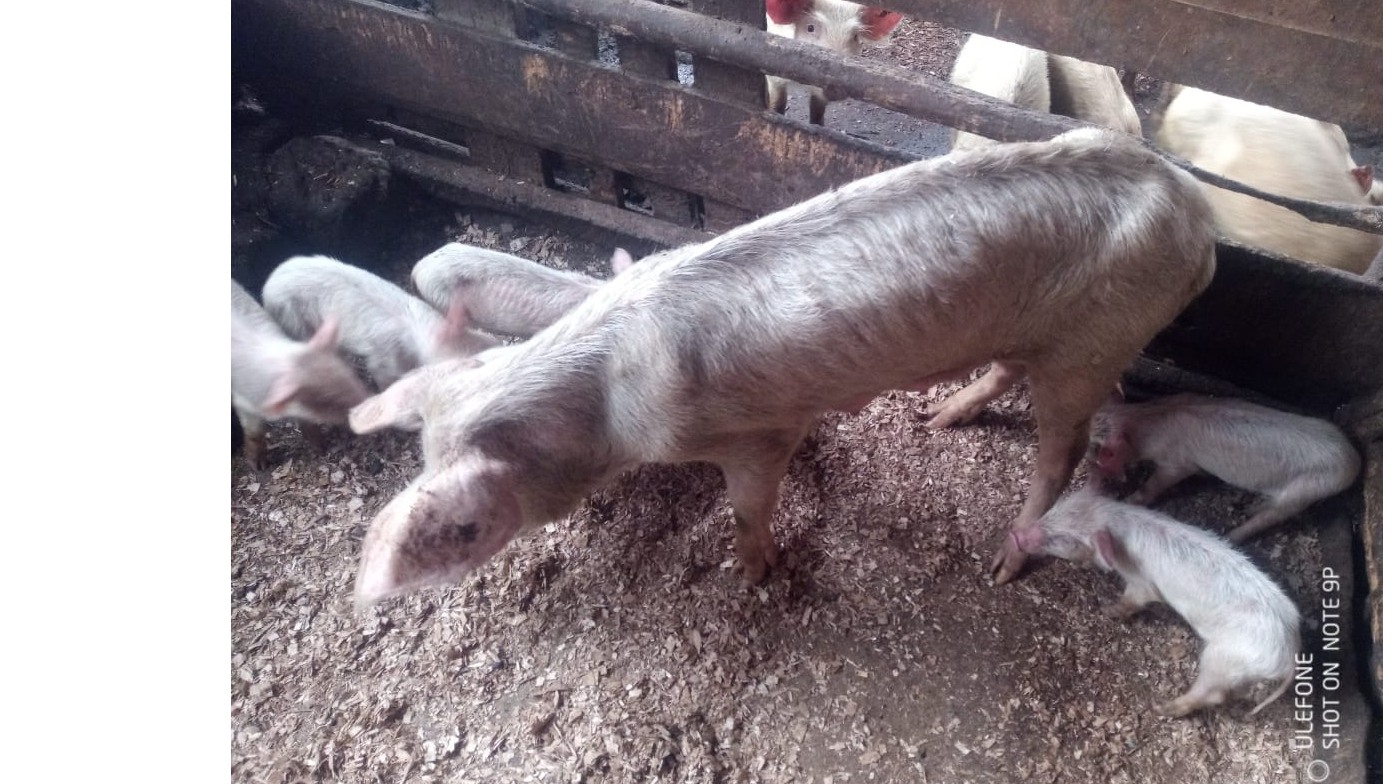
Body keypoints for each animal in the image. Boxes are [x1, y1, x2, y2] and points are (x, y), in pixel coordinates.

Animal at [230, 279, 370, 469]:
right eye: (326, 402)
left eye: (350, 375)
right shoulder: (243, 400)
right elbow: (254, 430)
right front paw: (258, 466)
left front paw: (320, 447)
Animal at [764, 0, 904, 126]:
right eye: (810, 28)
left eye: (855, 36)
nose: (837, 88)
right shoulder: (773, 71)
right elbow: (777, 103)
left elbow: (817, 112)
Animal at [1012, 489, 1300, 717]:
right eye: (1053, 510)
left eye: (1065, 540)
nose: (1016, 535)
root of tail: (1291, 651)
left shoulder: (1143, 583)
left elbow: (1135, 599)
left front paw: (1108, 610)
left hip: (1225, 659)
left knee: (1212, 693)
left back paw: (1163, 709)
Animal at [1091, 394, 1361, 542]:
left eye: (1096, 449)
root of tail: (1353, 461)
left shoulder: (1177, 462)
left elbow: (1155, 485)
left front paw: (1128, 500)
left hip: (1306, 490)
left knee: (1271, 516)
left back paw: (1231, 535)